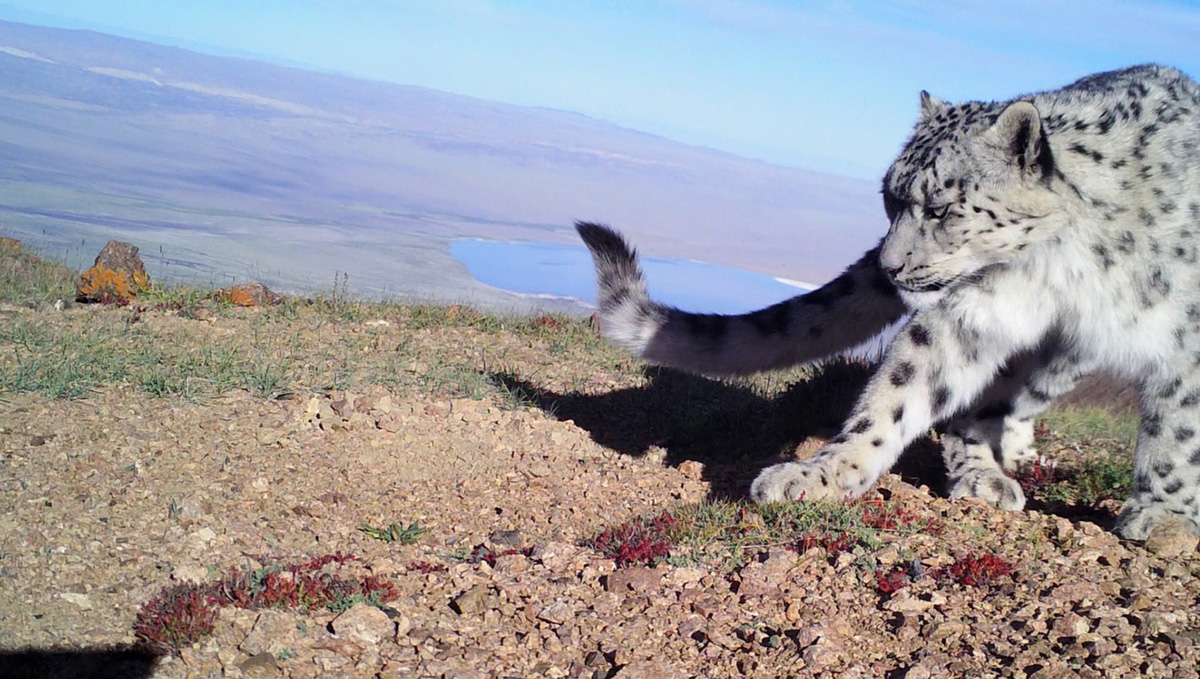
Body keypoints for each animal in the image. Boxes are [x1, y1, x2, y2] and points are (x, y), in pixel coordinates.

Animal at [576, 64, 1200, 540]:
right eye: (888, 198)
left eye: (942, 208)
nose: (889, 264)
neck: (1059, 265)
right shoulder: (971, 311)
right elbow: (901, 392)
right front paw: (822, 474)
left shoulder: (1184, 339)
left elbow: (1179, 430)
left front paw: (1165, 516)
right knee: (977, 408)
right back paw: (983, 472)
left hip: (1068, 357)